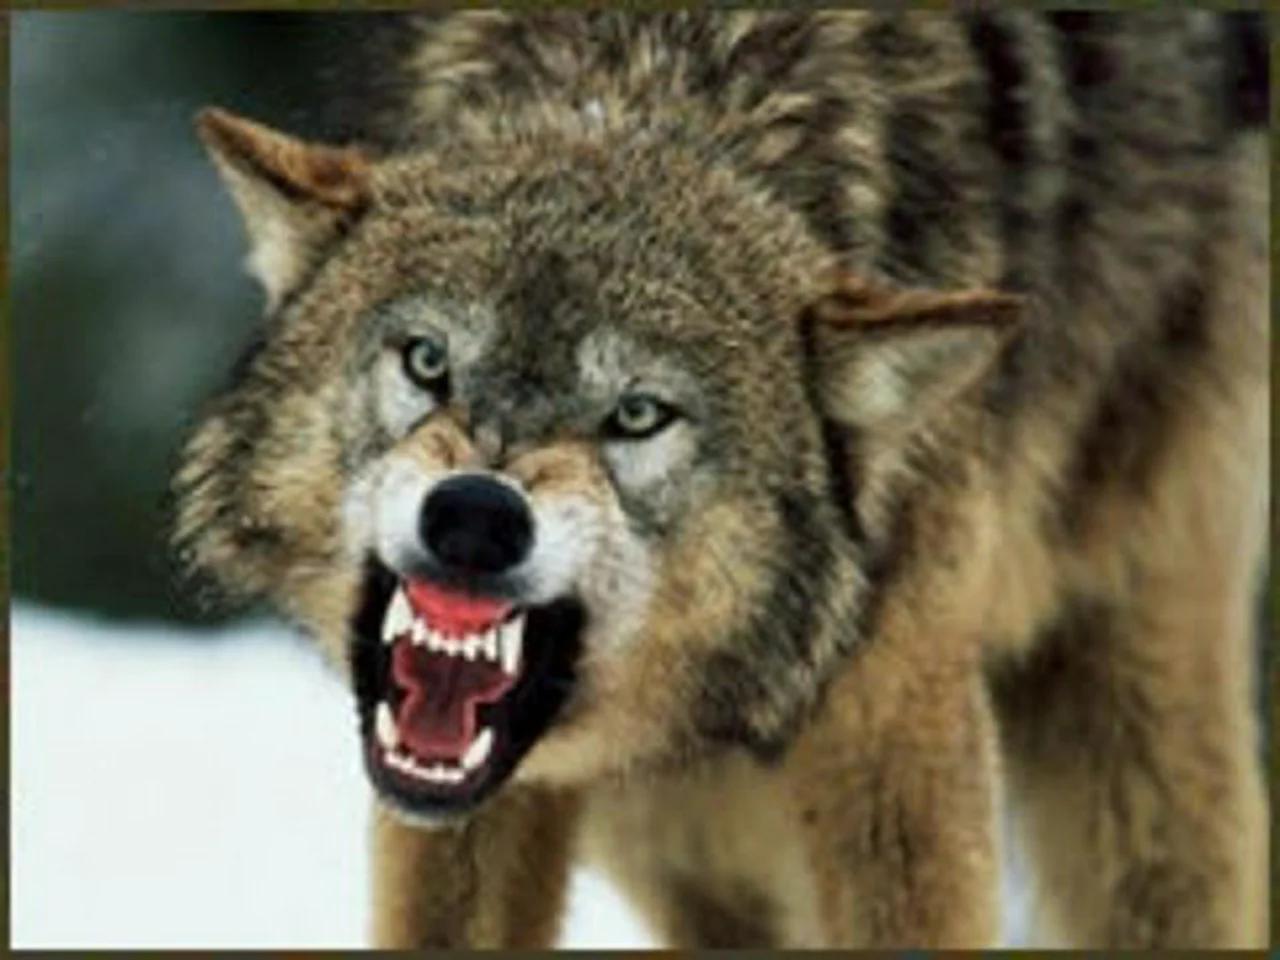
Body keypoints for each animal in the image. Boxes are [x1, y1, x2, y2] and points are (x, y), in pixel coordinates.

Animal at [173, 10, 1269, 948]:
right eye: (428, 361)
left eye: (637, 414)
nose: (476, 516)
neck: (657, 74)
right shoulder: (469, 794)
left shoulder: (896, 731)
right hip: (671, 832)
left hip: (1135, 711)